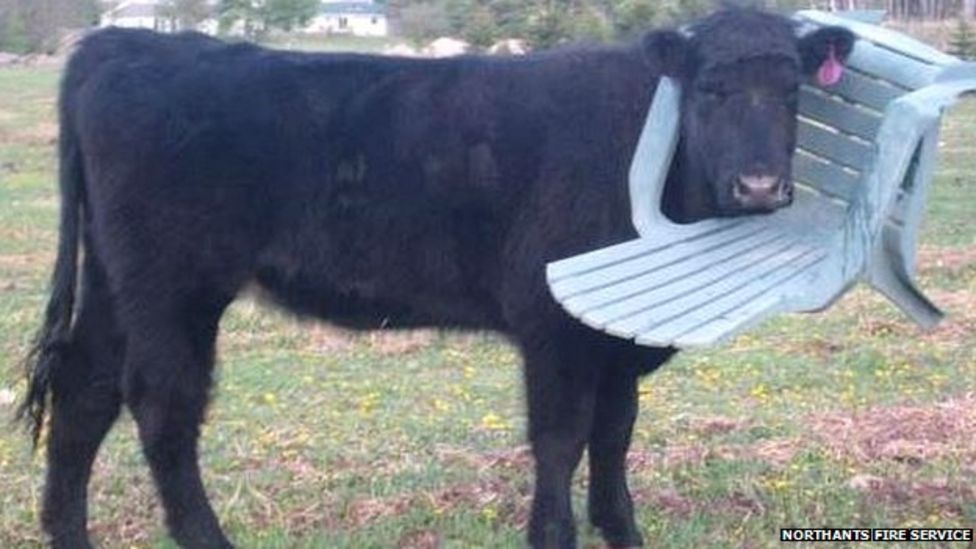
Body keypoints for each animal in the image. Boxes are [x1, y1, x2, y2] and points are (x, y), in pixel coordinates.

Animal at [19, 7, 854, 549]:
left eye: (793, 93)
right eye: (710, 89)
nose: (759, 186)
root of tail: (117, 44)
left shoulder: (620, 335)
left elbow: (615, 437)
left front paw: (624, 532)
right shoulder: (552, 325)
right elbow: (561, 439)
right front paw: (552, 535)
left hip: (116, 280)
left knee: (85, 390)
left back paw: (69, 533)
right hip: (174, 284)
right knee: (164, 407)